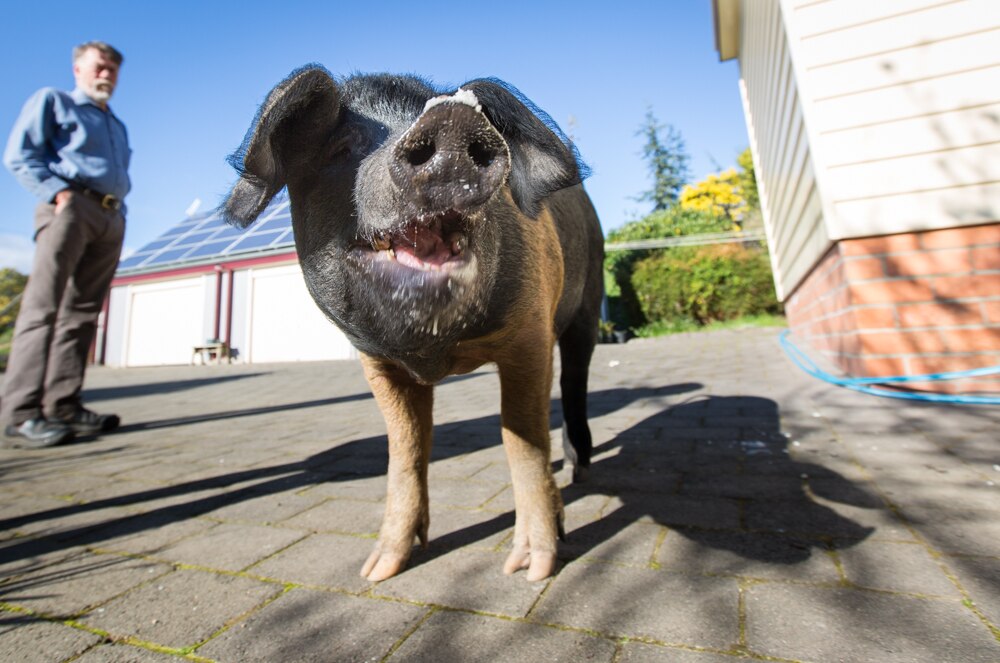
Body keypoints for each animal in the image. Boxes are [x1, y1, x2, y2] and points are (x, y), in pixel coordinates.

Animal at [223, 66, 604, 582]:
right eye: (341, 148)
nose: (451, 120)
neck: (436, 354)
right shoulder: (377, 362)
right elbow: (405, 448)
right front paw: (378, 570)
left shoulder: (529, 331)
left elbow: (521, 440)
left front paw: (530, 569)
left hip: (589, 302)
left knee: (575, 384)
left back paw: (578, 471)